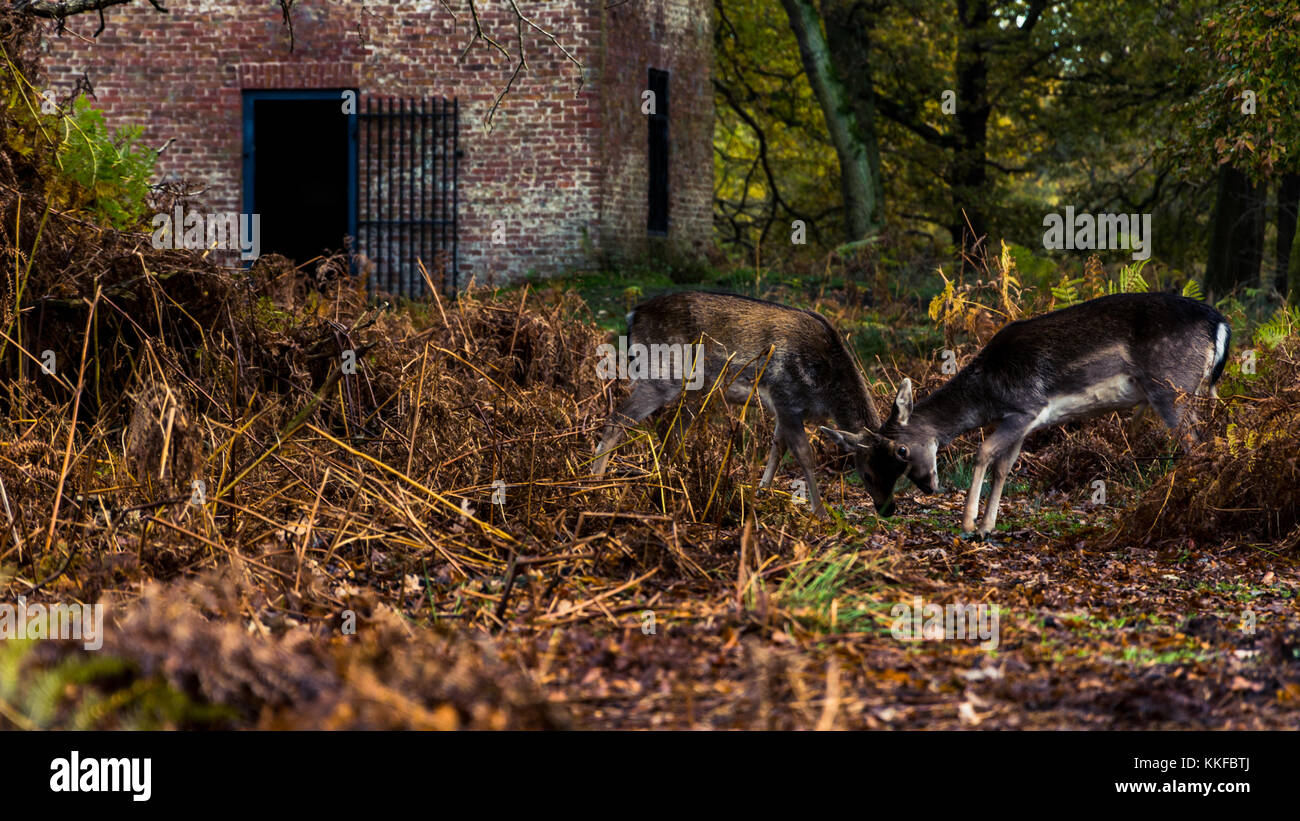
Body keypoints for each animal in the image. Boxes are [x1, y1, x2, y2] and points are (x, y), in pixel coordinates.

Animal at [590, 291, 885, 517]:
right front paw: (820, 512)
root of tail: (632, 315)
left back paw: (673, 477)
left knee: (670, 427)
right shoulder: (785, 397)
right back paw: (596, 481)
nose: (886, 509)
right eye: (867, 473)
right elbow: (803, 454)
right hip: (661, 374)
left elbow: (777, 448)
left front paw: (763, 491)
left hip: (692, 390)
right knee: (619, 418)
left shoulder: (784, 409)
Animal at [821, 292, 1232, 537]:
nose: (926, 486)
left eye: (901, 451)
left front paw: (968, 523)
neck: (988, 394)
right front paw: (988, 526)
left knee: (1199, 445)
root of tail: (1221, 325)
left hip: (1172, 389)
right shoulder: (1027, 420)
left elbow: (983, 453)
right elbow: (1004, 465)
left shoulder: (1025, 405)